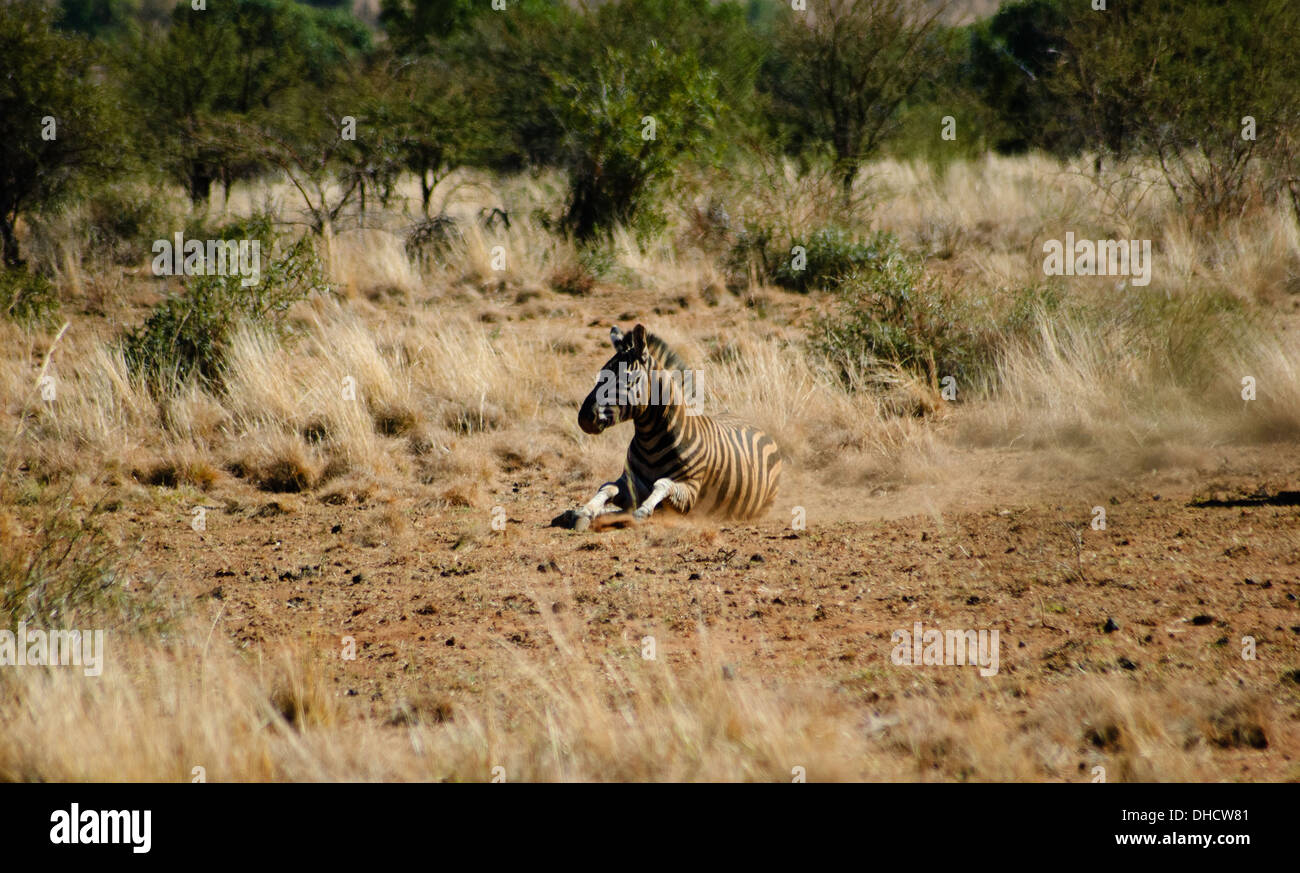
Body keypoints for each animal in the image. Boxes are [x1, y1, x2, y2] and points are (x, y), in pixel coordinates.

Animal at [554, 324, 782, 530]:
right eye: (601, 375)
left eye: (627, 379)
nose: (584, 418)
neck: (650, 439)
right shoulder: (630, 482)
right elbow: (607, 487)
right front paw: (585, 511)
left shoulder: (691, 491)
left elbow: (662, 484)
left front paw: (643, 510)